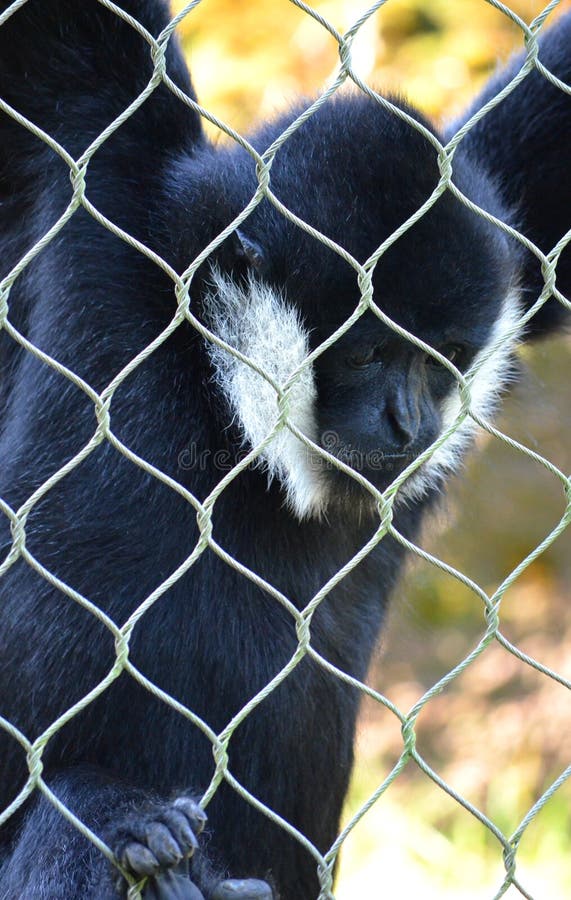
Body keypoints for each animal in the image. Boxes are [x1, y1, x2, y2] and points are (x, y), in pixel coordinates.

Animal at [0, 1, 569, 898]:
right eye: (367, 352)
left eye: (439, 357)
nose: (410, 423)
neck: (225, 412)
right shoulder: (98, 203)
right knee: (81, 831)